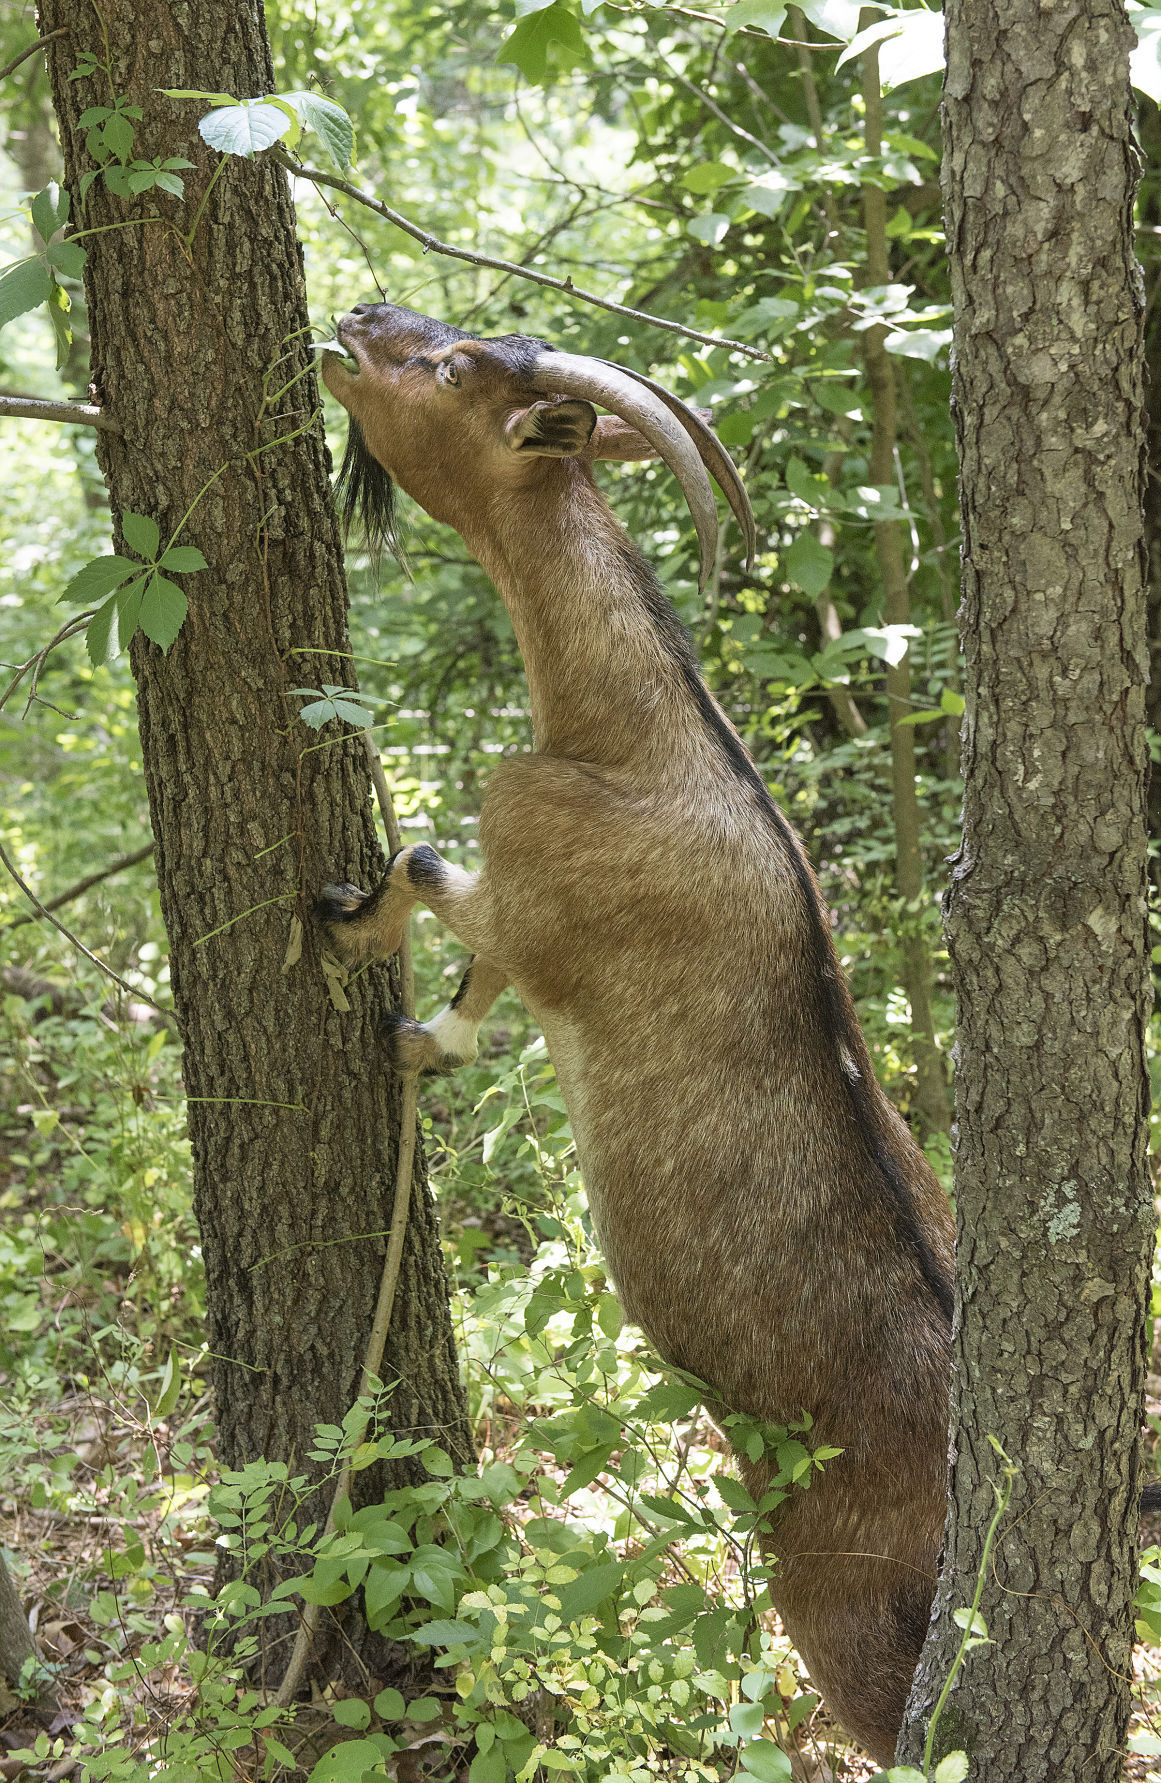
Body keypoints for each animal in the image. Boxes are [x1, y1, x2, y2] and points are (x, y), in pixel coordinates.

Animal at [316, 303, 955, 1766]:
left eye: (449, 368)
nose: (361, 319)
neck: (635, 734)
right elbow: (478, 980)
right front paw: (426, 1043)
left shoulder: (527, 863)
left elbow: (430, 866)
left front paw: (353, 943)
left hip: (848, 1611)